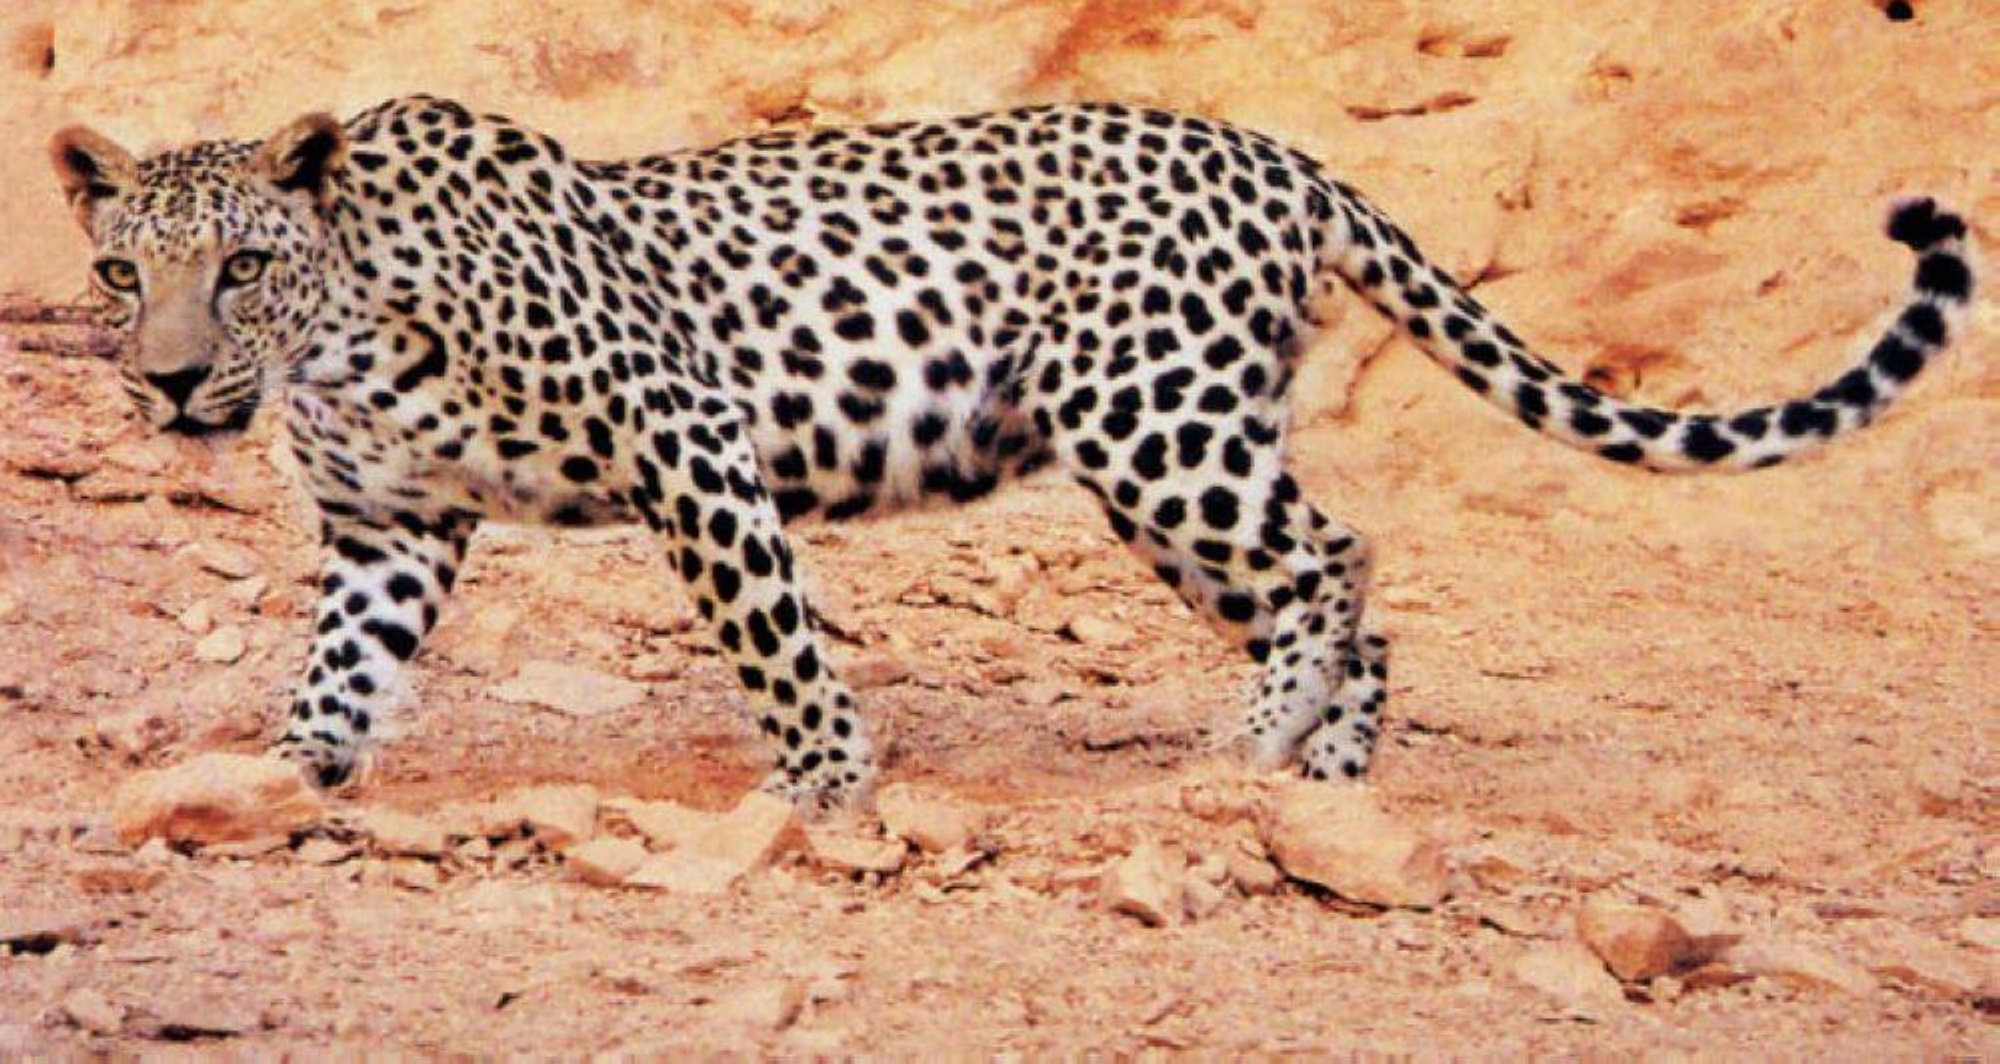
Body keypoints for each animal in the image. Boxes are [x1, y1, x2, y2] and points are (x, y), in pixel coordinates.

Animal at [49, 95, 1974, 809]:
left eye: (245, 266)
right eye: (127, 271)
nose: (172, 384)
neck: (346, 339)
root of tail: (1282, 154)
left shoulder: (689, 441)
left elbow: (775, 643)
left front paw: (824, 800)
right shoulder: (388, 530)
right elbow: (340, 669)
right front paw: (290, 778)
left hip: (1161, 429)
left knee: (1342, 558)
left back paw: (1257, 761)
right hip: (1176, 456)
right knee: (1342, 593)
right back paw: (1302, 772)